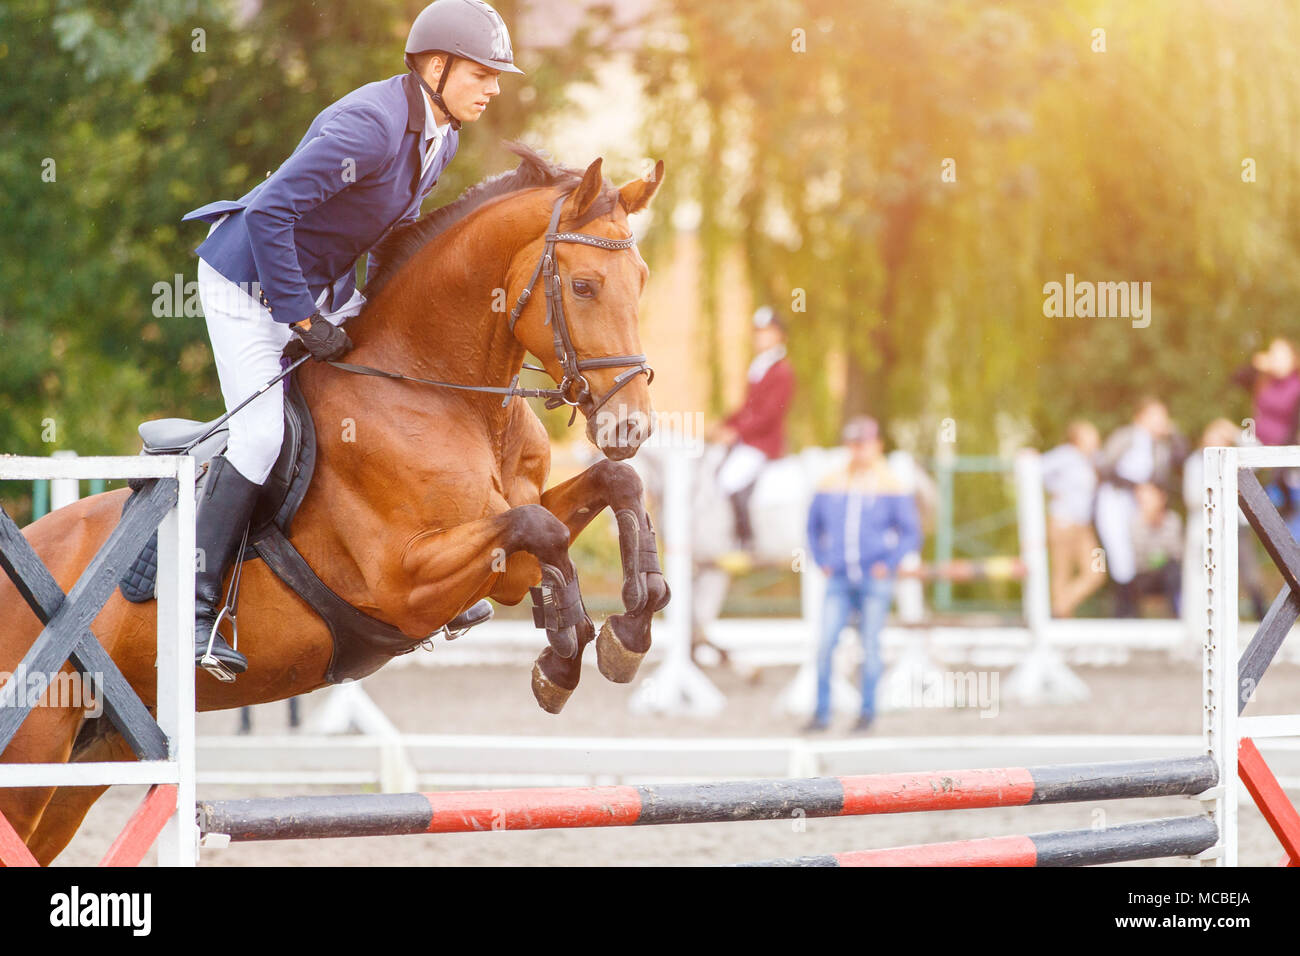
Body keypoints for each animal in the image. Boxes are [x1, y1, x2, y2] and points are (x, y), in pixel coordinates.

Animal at [0, 143, 669, 863]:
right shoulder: (404, 582)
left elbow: (609, 489)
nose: (631, 426)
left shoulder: (495, 546)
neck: (437, 391)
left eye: (642, 279)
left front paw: (628, 628)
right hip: (33, 759)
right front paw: (565, 650)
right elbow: (540, 530)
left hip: (94, 758)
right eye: (584, 287)